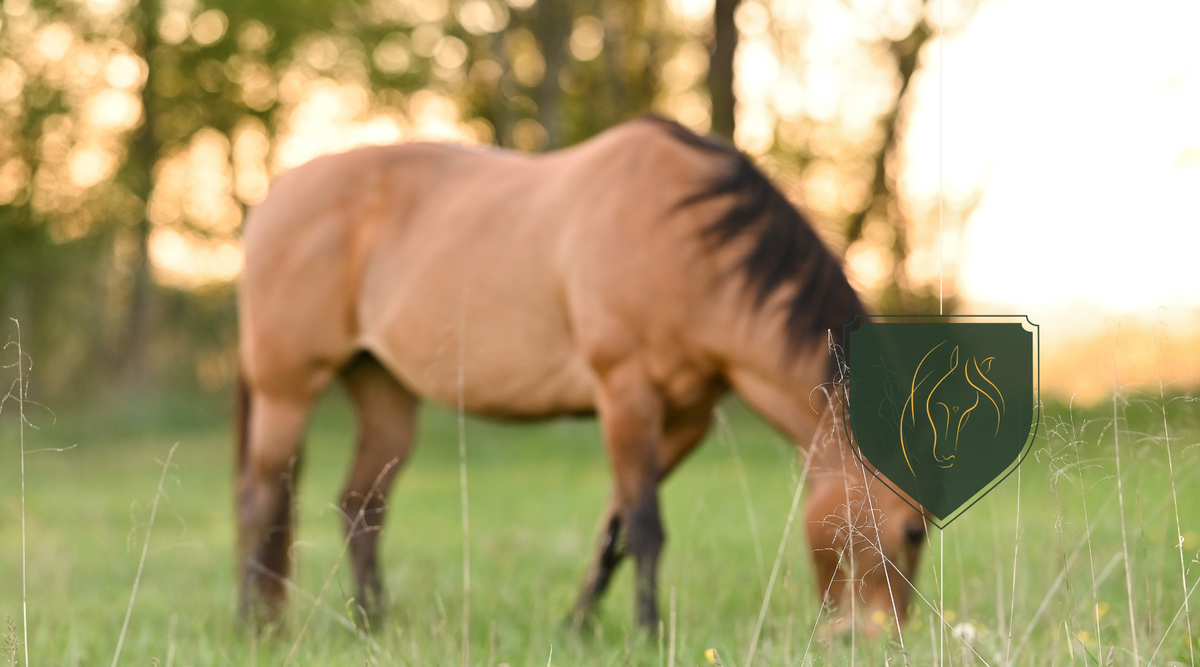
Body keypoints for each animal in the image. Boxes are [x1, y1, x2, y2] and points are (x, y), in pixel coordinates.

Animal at [235, 116, 928, 634]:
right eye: (910, 532)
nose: (877, 639)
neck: (687, 243)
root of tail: (271, 199)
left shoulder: (683, 420)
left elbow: (613, 531)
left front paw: (579, 627)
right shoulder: (626, 395)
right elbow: (645, 529)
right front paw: (647, 633)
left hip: (383, 392)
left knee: (362, 507)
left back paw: (371, 623)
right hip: (286, 390)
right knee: (261, 499)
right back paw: (256, 626)